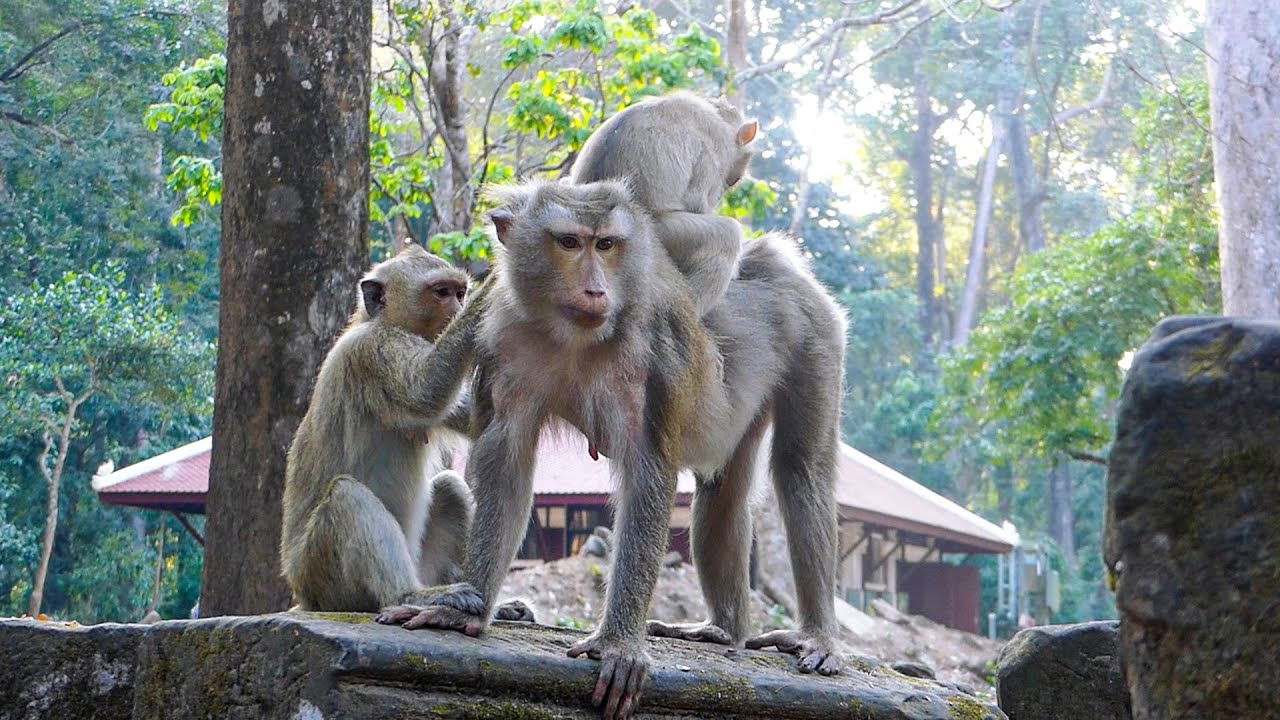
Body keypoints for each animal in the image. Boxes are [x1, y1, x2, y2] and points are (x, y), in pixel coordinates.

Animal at [280, 245, 532, 621]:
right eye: (442, 293)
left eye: (460, 293)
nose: (458, 308)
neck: (381, 322)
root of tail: (303, 596)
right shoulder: (373, 351)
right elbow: (426, 391)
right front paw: (496, 285)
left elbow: (479, 422)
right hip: (321, 575)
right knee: (345, 496)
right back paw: (411, 595)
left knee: (450, 487)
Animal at [377, 181, 846, 720]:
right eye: (568, 242)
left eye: (605, 245)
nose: (597, 290)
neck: (571, 333)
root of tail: (773, 262)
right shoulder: (501, 340)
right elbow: (506, 458)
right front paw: (462, 605)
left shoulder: (655, 349)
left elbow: (648, 469)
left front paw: (619, 645)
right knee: (724, 489)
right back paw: (720, 629)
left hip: (816, 332)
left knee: (801, 471)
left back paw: (818, 635)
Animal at [570, 91, 758, 317]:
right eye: (733, 179)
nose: (724, 189)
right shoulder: (713, 150)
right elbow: (697, 202)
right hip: (660, 238)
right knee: (726, 233)